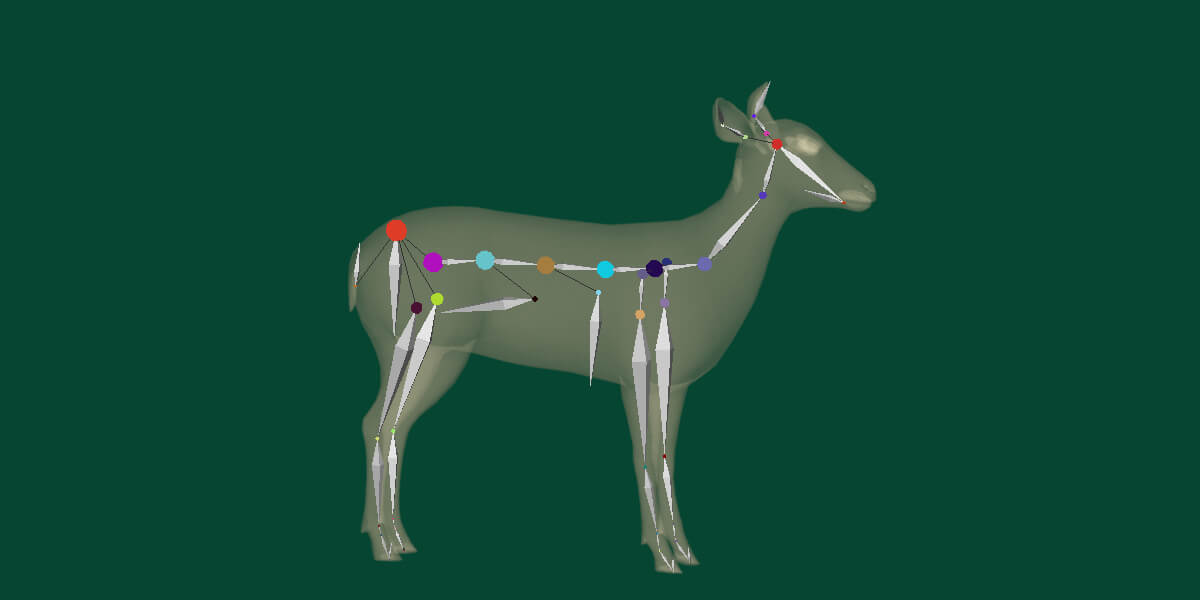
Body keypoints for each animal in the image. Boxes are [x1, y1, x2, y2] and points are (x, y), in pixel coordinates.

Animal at [348, 82, 876, 573]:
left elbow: (664, 452)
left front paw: (683, 551)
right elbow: (645, 451)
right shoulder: (634, 364)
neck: (705, 266)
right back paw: (384, 546)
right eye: (796, 143)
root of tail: (357, 263)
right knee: (377, 422)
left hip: (443, 351)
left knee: (393, 427)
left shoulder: (675, 378)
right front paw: (663, 556)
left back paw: (397, 539)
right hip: (416, 339)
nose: (869, 189)